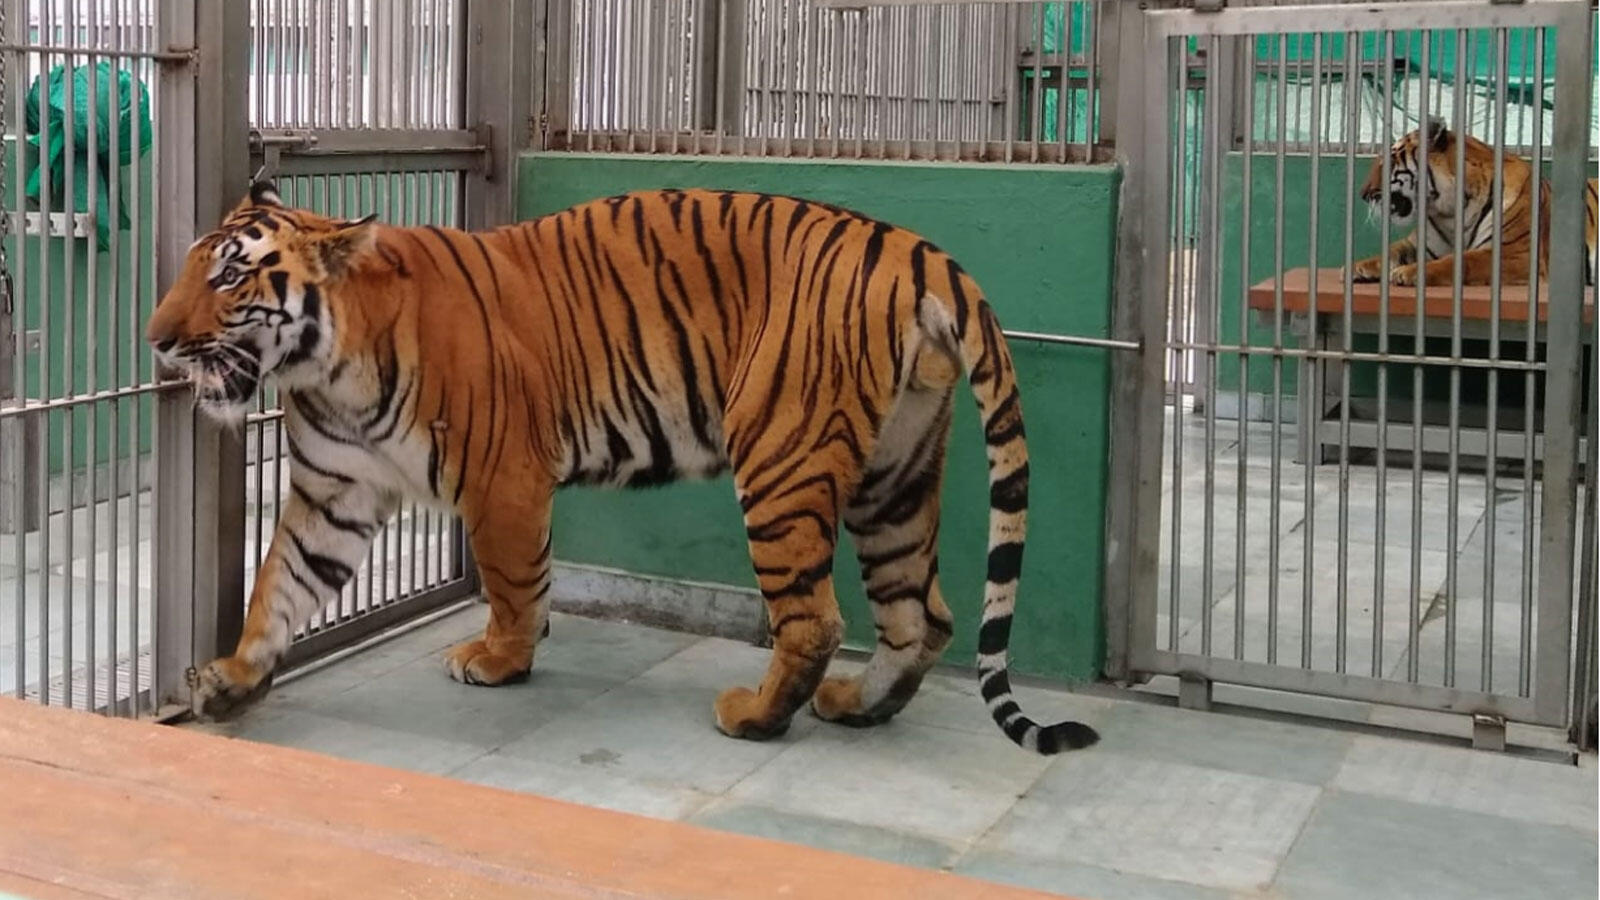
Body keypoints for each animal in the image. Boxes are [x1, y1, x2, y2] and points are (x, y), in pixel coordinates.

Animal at [144, 180, 1100, 755]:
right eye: (192, 267)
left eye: (230, 278)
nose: (154, 339)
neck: (325, 365)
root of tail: (915, 248)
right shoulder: (334, 492)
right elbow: (280, 587)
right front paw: (229, 680)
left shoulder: (503, 479)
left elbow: (514, 582)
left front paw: (500, 660)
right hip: (896, 472)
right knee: (921, 614)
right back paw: (859, 706)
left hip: (783, 458)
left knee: (816, 619)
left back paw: (756, 716)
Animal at [1348, 116, 1598, 287]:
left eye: (1388, 163)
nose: (1362, 193)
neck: (1449, 211)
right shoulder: (1421, 245)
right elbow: (1390, 251)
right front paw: (1355, 268)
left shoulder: (1519, 254)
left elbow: (1461, 260)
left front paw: (1407, 273)